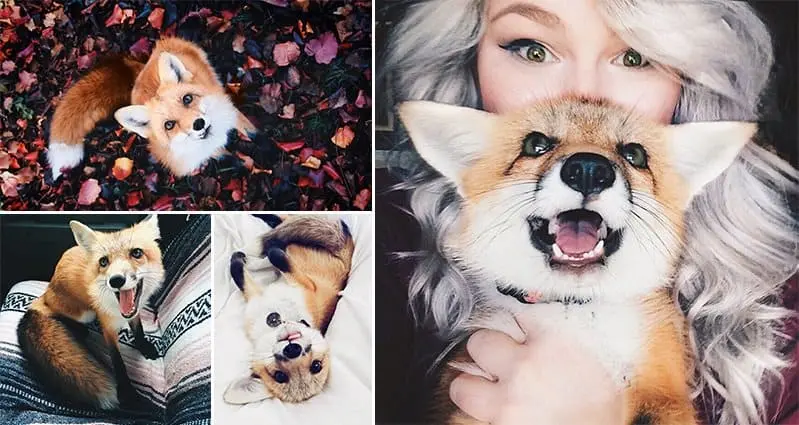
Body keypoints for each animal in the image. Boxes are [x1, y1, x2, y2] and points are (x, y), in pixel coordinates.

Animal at [16, 215, 165, 410]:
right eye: (103, 262)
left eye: (137, 253)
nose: (116, 280)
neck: (117, 309)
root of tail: (47, 292)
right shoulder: (107, 325)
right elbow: (118, 361)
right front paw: (126, 391)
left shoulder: (135, 311)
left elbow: (138, 330)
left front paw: (143, 346)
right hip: (82, 312)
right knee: (56, 314)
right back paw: (78, 328)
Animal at [47, 37, 257, 180]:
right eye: (169, 125)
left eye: (187, 99)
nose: (198, 124)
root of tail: (143, 68)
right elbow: (225, 155)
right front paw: (240, 163)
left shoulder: (234, 115)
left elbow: (252, 132)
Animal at [223, 214, 355, 404]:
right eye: (279, 376)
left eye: (316, 366)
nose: (293, 350)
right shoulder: (255, 297)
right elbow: (240, 272)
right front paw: (242, 259)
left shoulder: (305, 285)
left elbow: (272, 257)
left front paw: (247, 258)